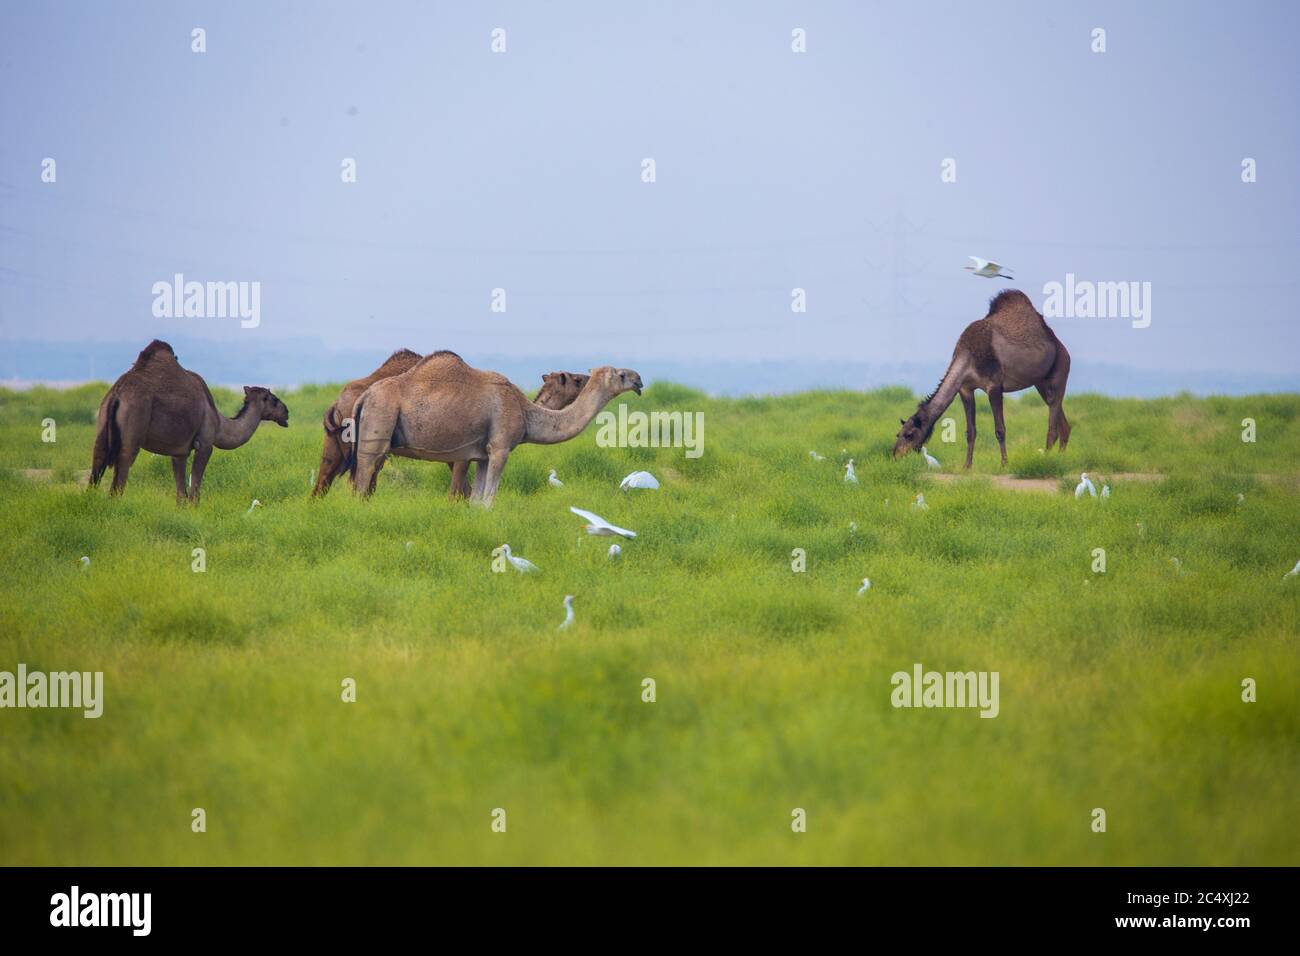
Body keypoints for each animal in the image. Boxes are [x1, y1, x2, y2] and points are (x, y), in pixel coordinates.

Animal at [90, 340, 288, 502]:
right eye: (273, 398)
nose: (286, 413)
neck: (219, 423)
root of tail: (117, 394)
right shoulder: (205, 443)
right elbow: (194, 489)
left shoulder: (179, 452)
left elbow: (181, 492)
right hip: (133, 425)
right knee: (122, 470)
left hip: (102, 422)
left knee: (97, 464)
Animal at [312, 351, 588, 498]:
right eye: (576, 380)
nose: (587, 375)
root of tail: (337, 403)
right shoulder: (461, 454)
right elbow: (459, 491)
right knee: (361, 477)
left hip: (335, 441)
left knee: (325, 477)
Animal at [349, 351, 642, 506]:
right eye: (621, 375)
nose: (639, 380)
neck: (525, 411)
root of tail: (365, 397)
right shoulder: (501, 447)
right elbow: (490, 498)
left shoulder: (481, 454)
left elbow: (477, 501)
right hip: (379, 423)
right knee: (363, 477)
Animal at [892, 290, 1072, 468]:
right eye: (898, 434)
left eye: (909, 435)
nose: (895, 454)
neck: (969, 357)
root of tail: (1060, 345)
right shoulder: (965, 389)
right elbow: (970, 431)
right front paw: (967, 466)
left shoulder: (994, 386)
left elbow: (1000, 430)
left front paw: (1004, 464)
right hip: (1040, 382)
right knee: (1061, 419)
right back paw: (1060, 458)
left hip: (1061, 369)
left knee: (1053, 414)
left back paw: (1046, 459)